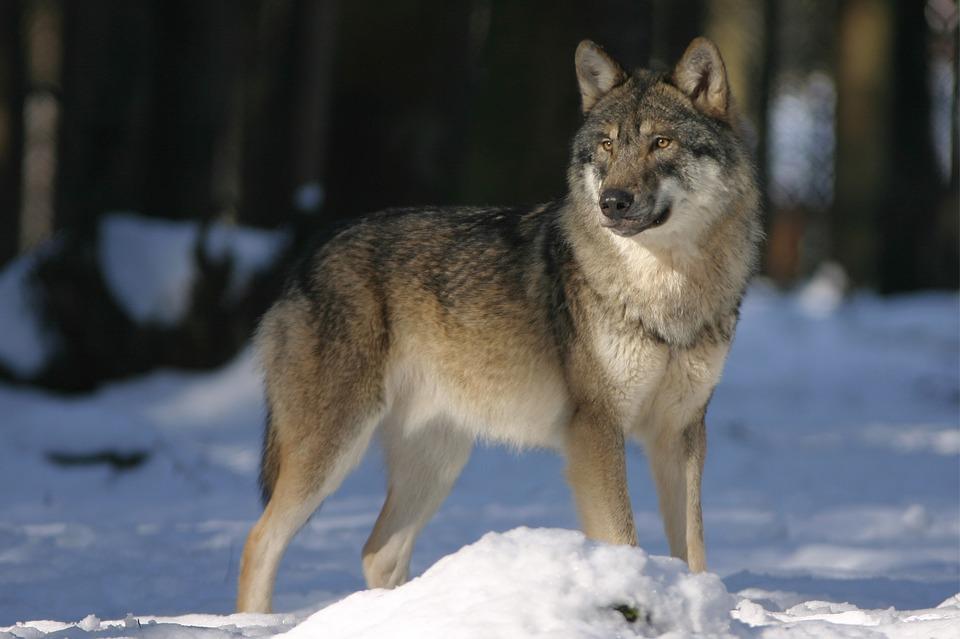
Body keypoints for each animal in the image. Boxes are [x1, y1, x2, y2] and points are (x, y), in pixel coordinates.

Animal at [236, 37, 761, 613]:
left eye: (661, 142)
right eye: (606, 146)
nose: (612, 202)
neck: (665, 291)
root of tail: (307, 256)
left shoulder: (682, 432)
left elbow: (693, 549)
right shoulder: (596, 431)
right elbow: (624, 537)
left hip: (438, 461)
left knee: (377, 551)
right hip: (333, 449)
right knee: (259, 539)